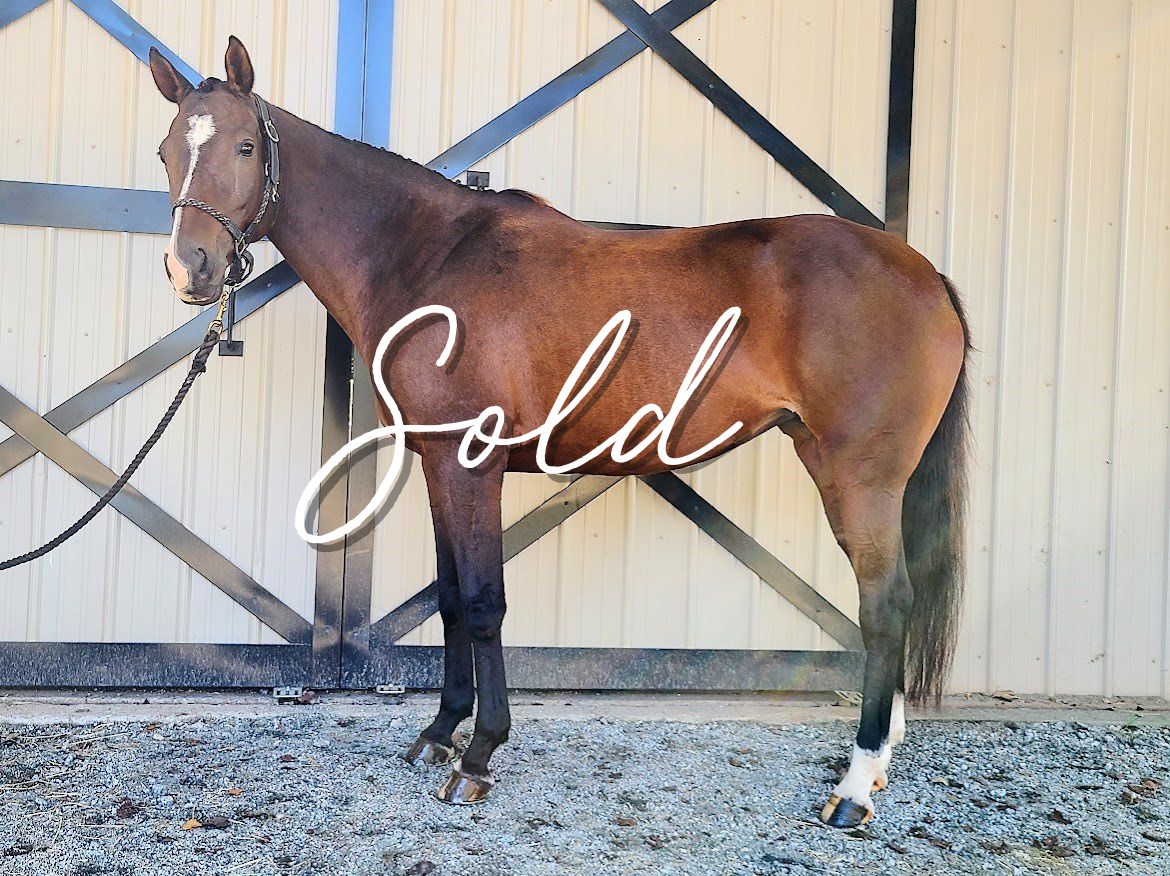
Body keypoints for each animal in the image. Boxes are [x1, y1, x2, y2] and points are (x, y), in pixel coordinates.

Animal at [149, 38, 969, 828]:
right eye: (165, 151)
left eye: (246, 146)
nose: (191, 268)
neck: (427, 257)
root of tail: (923, 272)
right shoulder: (438, 463)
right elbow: (451, 599)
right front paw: (440, 731)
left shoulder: (470, 462)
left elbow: (483, 602)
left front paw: (480, 754)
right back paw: (880, 761)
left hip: (858, 477)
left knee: (886, 604)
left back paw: (856, 786)